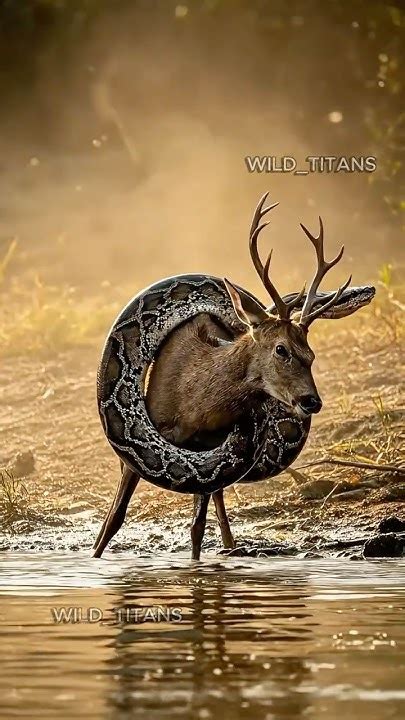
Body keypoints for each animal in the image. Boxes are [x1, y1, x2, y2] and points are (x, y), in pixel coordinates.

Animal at [93, 193, 373, 561]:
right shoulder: (138, 457)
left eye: (311, 357)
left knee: (218, 506)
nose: (311, 401)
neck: (198, 399)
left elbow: (198, 526)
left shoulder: (209, 464)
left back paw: (231, 547)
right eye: (281, 350)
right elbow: (114, 518)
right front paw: (94, 557)